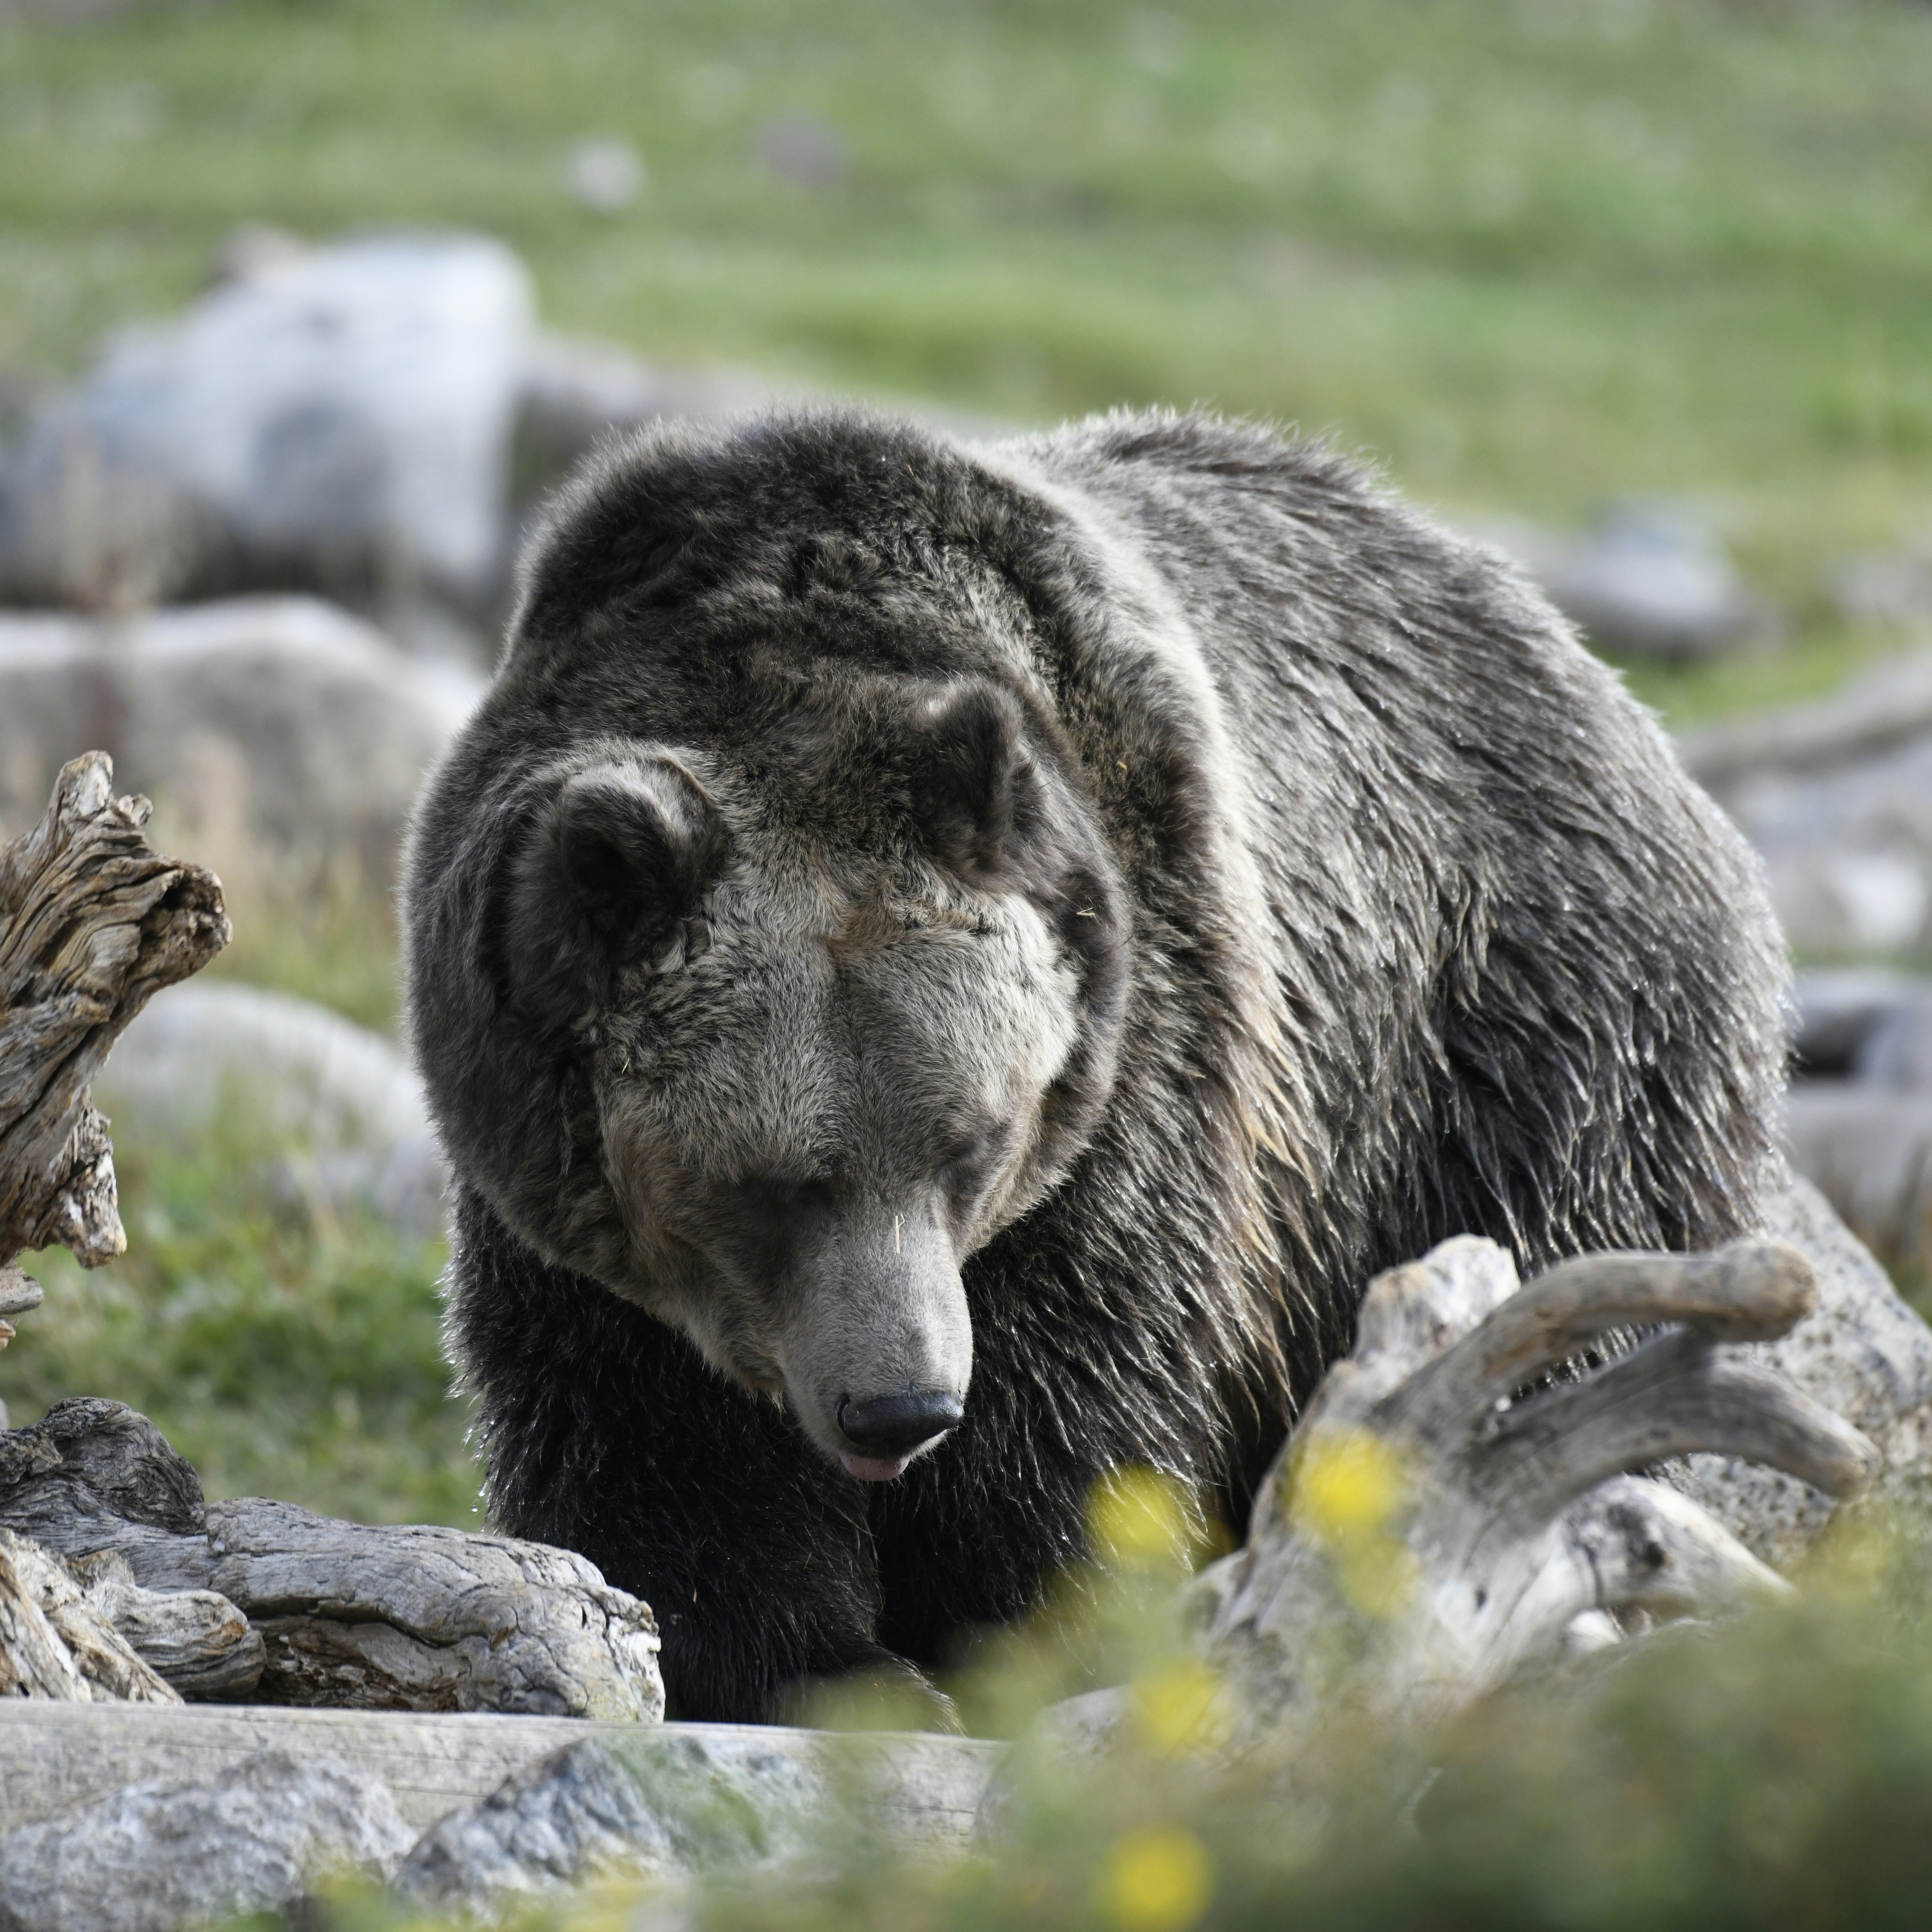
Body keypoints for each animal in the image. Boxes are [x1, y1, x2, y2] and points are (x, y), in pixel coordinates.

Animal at [403, 407, 1787, 1724]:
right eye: (771, 1182)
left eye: (970, 1144)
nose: (900, 1405)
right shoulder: (555, 1168)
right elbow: (654, 1444)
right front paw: (808, 1662)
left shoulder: (1138, 1053)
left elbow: (1071, 1404)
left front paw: (1021, 1639)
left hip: (1506, 1033)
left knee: (1556, 1286)